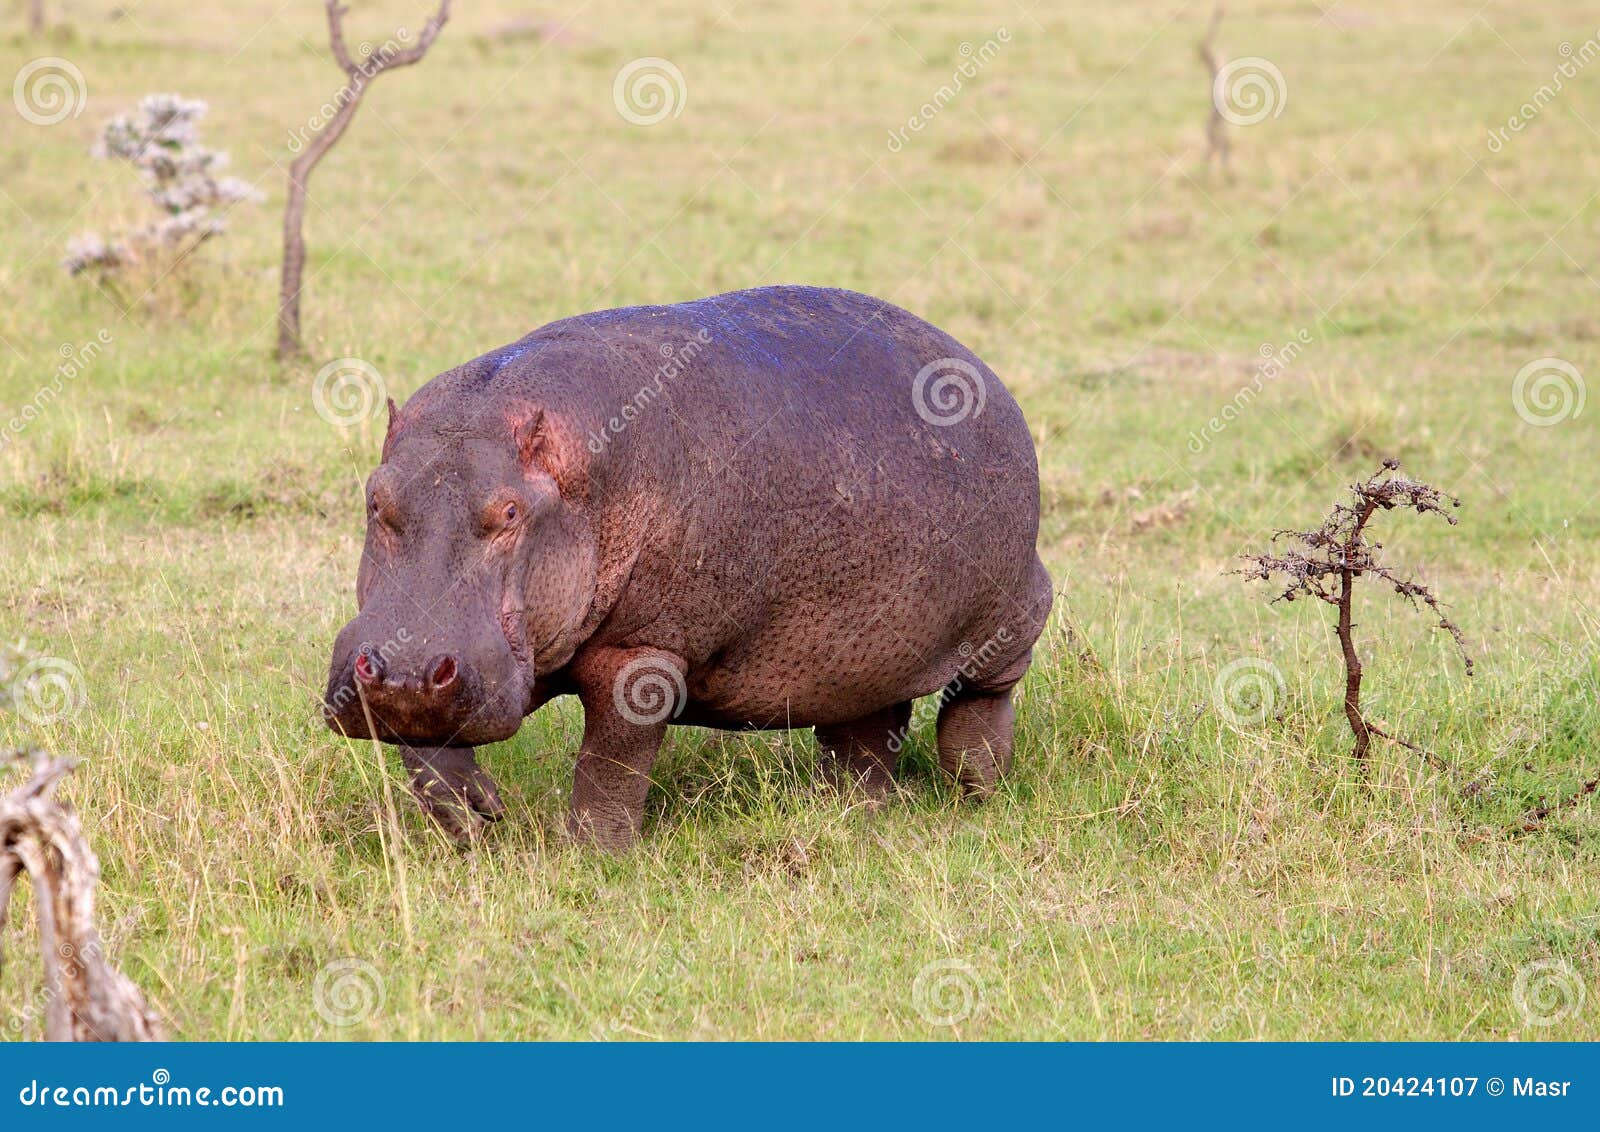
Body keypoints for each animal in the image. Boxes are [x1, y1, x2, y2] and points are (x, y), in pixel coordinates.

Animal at [323, 285, 1053, 848]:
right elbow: (422, 743)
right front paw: (477, 817)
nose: (406, 670)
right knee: (868, 733)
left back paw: (976, 792)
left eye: (508, 512)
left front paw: (591, 855)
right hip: (866, 653)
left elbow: (612, 764)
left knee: (981, 702)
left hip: (1012, 614)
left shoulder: (642, 653)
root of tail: (984, 373)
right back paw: (853, 811)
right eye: (376, 498)